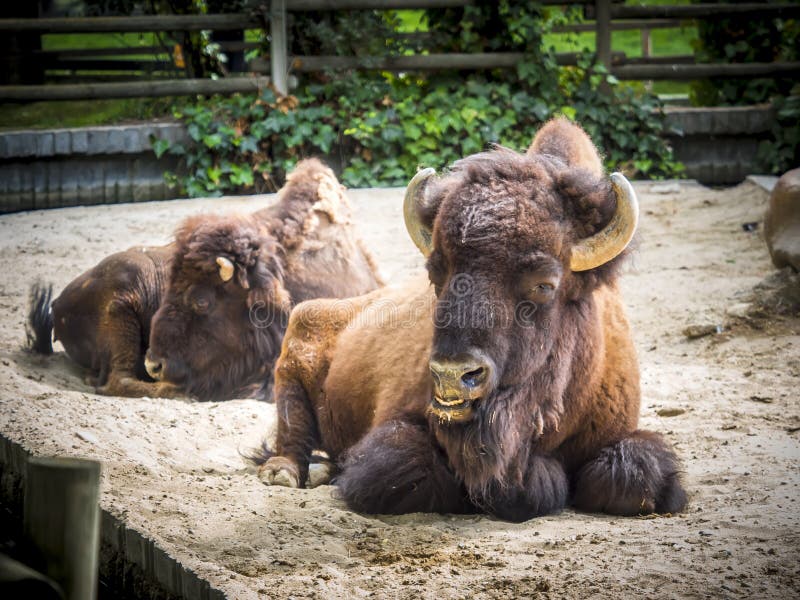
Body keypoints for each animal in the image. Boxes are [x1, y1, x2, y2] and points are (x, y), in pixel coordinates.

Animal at [29, 158, 383, 401]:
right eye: (168, 292)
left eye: (202, 301)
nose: (154, 364)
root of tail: (59, 303)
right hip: (122, 303)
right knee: (119, 379)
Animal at [255, 118, 688, 521]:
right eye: (436, 273)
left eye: (545, 284)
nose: (453, 375)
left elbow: (631, 477)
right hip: (291, 363)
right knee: (292, 433)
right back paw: (285, 472)